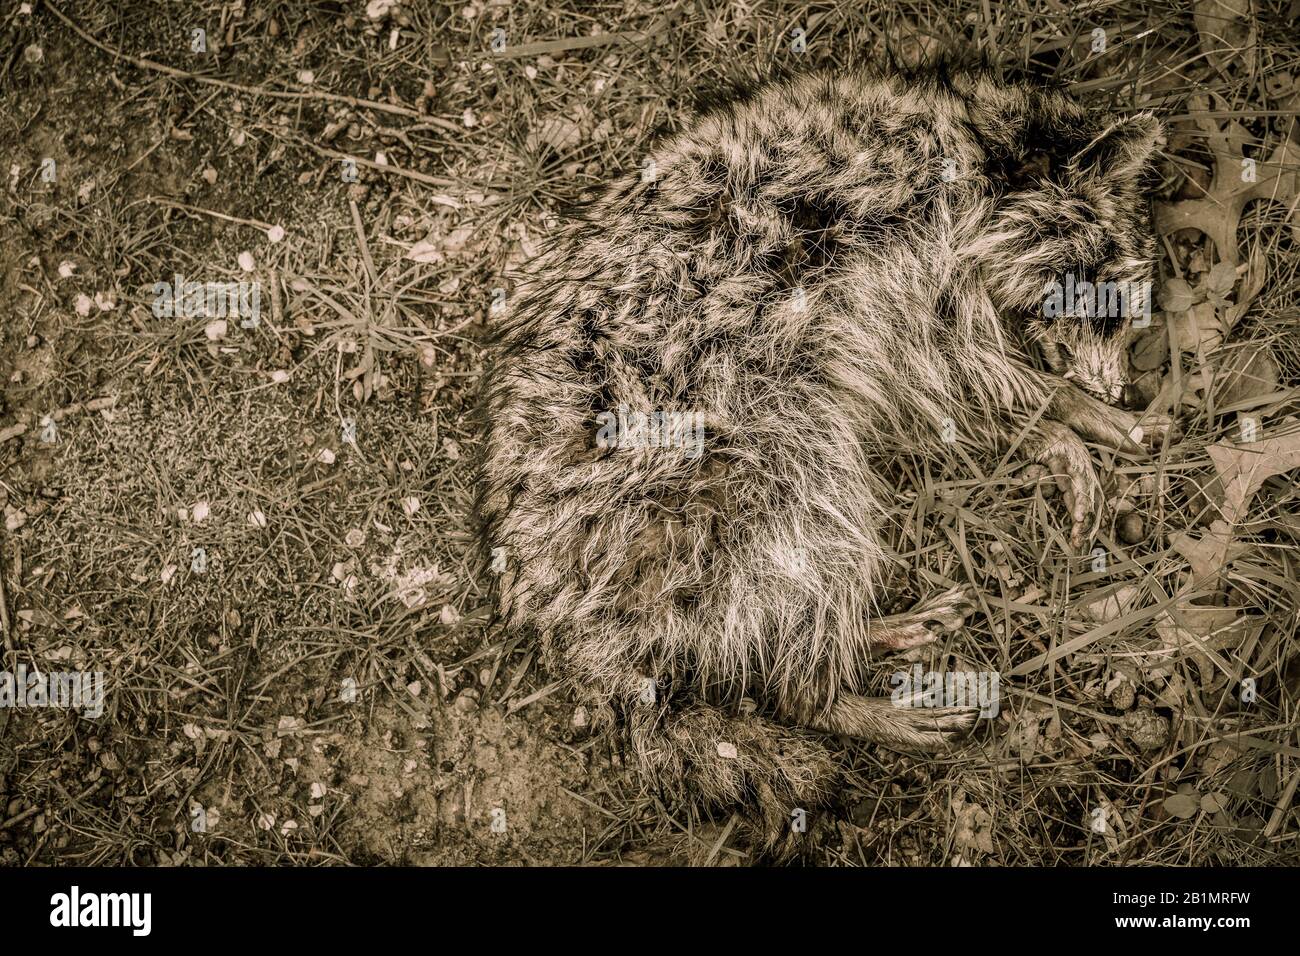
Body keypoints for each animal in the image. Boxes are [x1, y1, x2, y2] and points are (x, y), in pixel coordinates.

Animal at [475, 65, 1169, 850]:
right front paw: (1067, 416)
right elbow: (960, 382)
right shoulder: (905, 273)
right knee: (814, 520)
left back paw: (867, 637)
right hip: (712, 471)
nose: (1116, 383)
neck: (975, 154)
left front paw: (1073, 416)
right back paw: (826, 691)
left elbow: (944, 396)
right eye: (1103, 293)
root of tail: (572, 630)